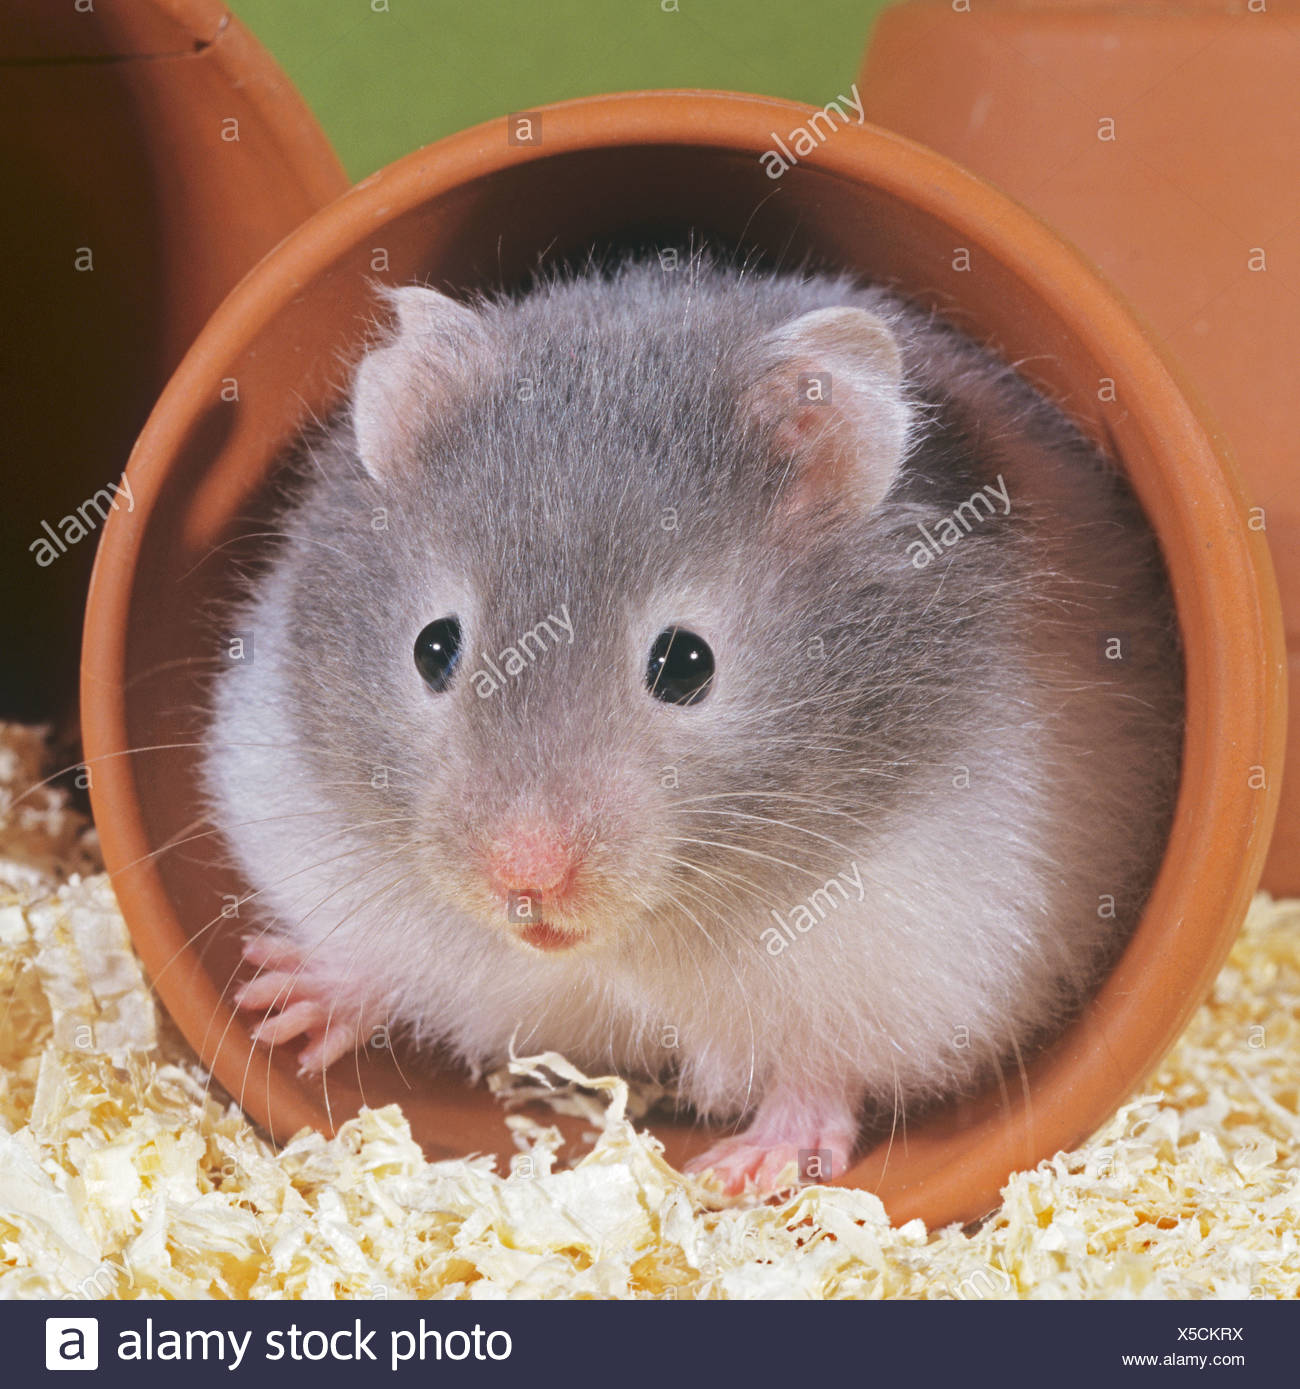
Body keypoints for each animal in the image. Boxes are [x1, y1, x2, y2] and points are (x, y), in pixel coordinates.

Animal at [203, 254, 1183, 1194]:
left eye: (686, 664)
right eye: (433, 648)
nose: (525, 880)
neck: (630, 937)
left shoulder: (930, 948)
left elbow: (822, 1067)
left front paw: (748, 1172)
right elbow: (380, 957)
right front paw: (272, 1000)